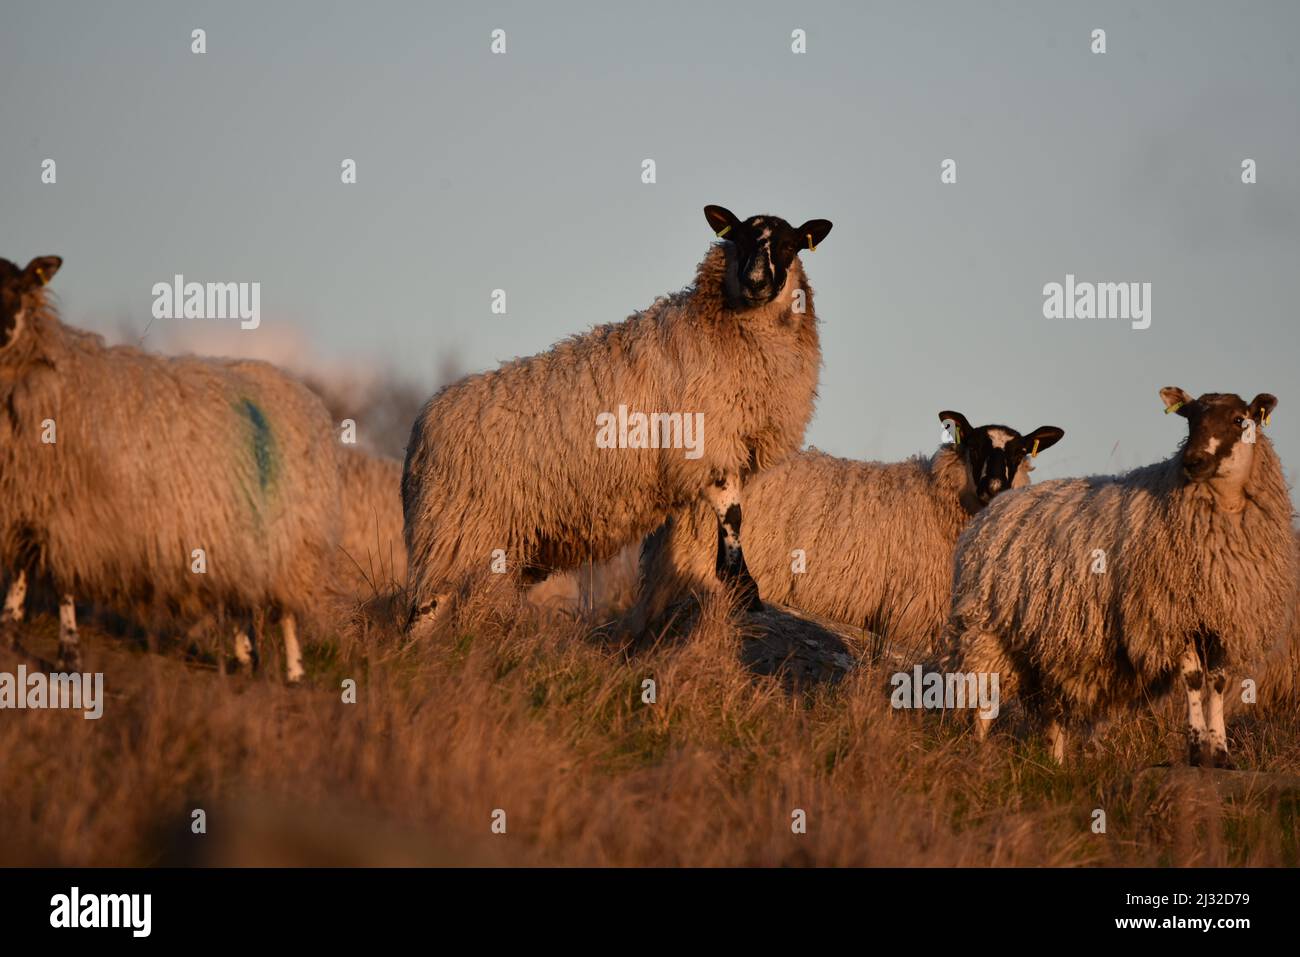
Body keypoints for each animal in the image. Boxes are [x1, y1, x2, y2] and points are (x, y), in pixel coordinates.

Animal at [0, 255, 343, 682]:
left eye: (19, 289)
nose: (3, 331)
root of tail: (301, 391)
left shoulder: (76, 513)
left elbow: (63, 582)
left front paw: (69, 657)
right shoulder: (26, 499)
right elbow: (20, 568)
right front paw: (8, 630)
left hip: (293, 540)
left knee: (288, 610)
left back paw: (294, 674)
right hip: (240, 534)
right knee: (243, 597)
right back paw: (246, 659)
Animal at [401, 205, 833, 629]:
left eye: (789, 245)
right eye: (739, 239)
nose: (755, 283)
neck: (719, 327)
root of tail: (424, 423)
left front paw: (733, 583)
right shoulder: (708, 443)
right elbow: (733, 518)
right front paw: (746, 591)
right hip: (452, 529)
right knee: (422, 612)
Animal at [947, 387, 1297, 768]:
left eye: (1238, 420)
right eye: (1189, 419)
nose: (1193, 461)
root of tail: (999, 504)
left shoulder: (1223, 618)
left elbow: (1217, 683)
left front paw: (1219, 754)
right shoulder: (1173, 614)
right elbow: (1192, 681)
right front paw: (1195, 749)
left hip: (1051, 648)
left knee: (1054, 714)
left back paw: (1057, 765)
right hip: (987, 633)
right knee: (984, 701)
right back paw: (979, 754)